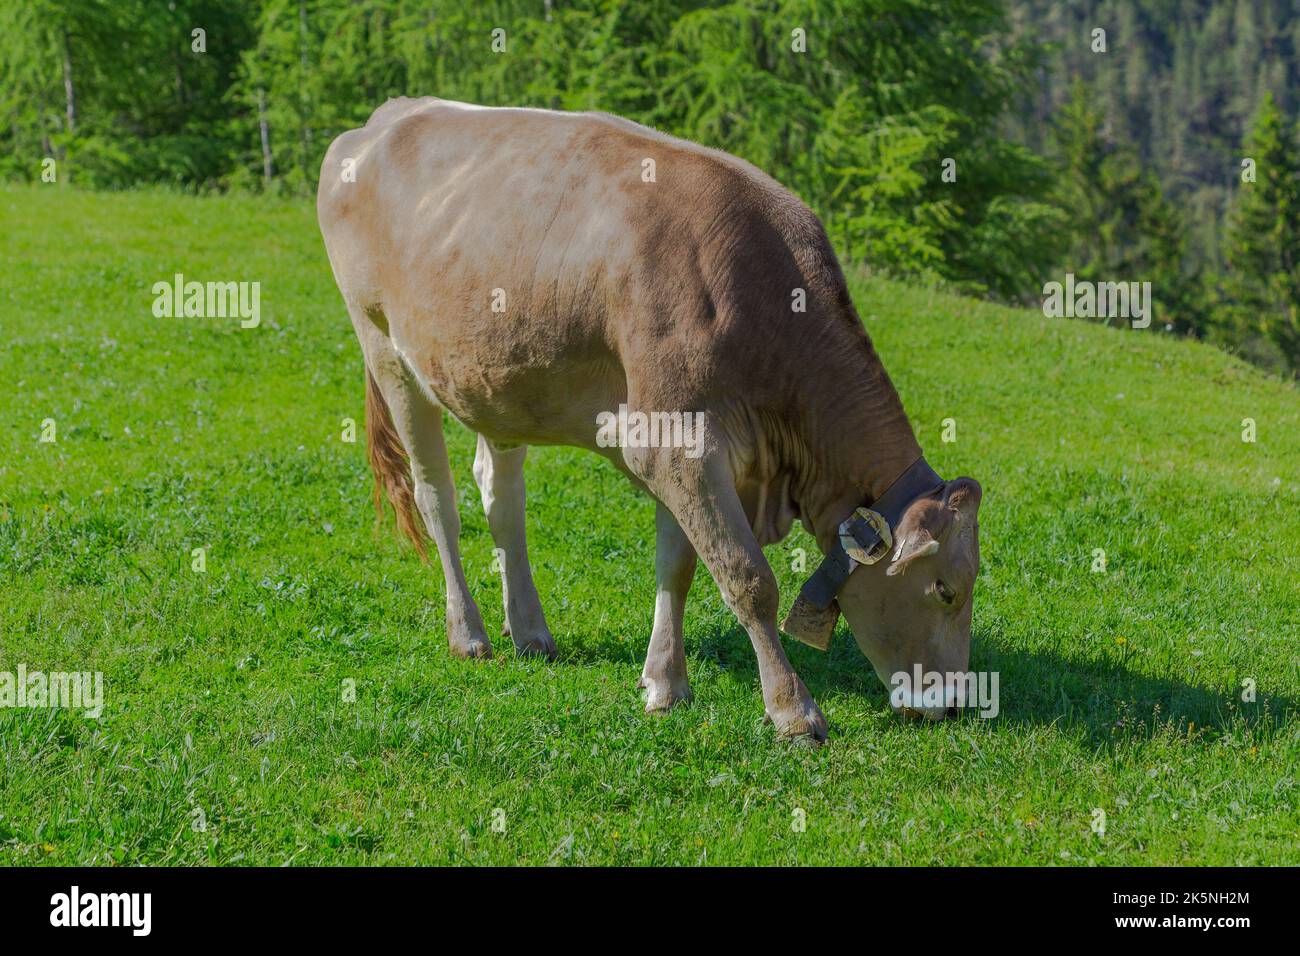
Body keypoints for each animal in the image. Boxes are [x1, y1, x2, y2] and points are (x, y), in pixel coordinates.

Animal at [317, 98, 983, 743]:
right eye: (946, 589)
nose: (952, 705)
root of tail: (382, 118)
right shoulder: (678, 446)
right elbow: (748, 579)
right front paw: (793, 710)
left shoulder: (683, 448)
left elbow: (678, 567)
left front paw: (665, 682)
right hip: (385, 350)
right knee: (437, 498)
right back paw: (469, 634)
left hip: (496, 380)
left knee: (501, 500)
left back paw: (529, 630)